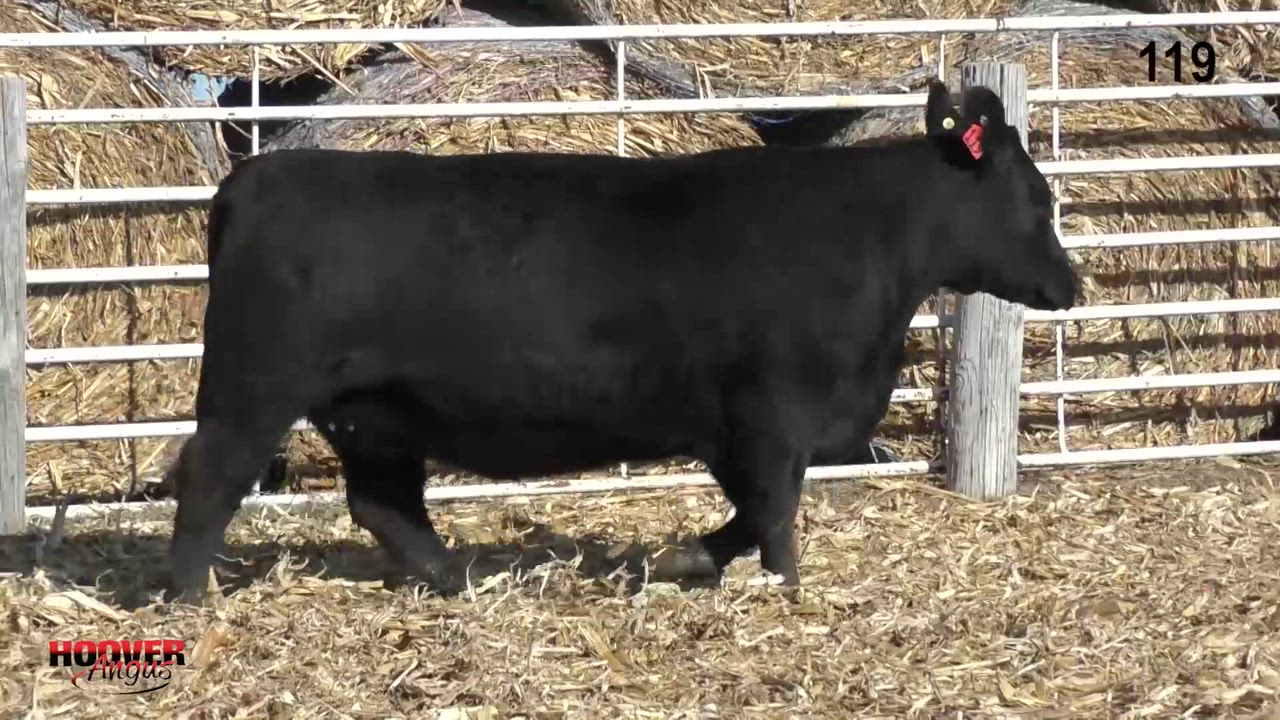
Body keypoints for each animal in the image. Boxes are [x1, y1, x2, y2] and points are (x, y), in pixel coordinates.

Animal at [163, 80, 1078, 601]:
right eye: (1038, 199)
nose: (1070, 286)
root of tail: (254, 178)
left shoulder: (737, 426)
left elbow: (750, 512)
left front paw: (690, 561)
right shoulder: (771, 414)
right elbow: (775, 512)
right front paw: (783, 591)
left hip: (372, 411)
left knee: (383, 504)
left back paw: (457, 580)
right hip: (253, 390)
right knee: (210, 482)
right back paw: (188, 601)